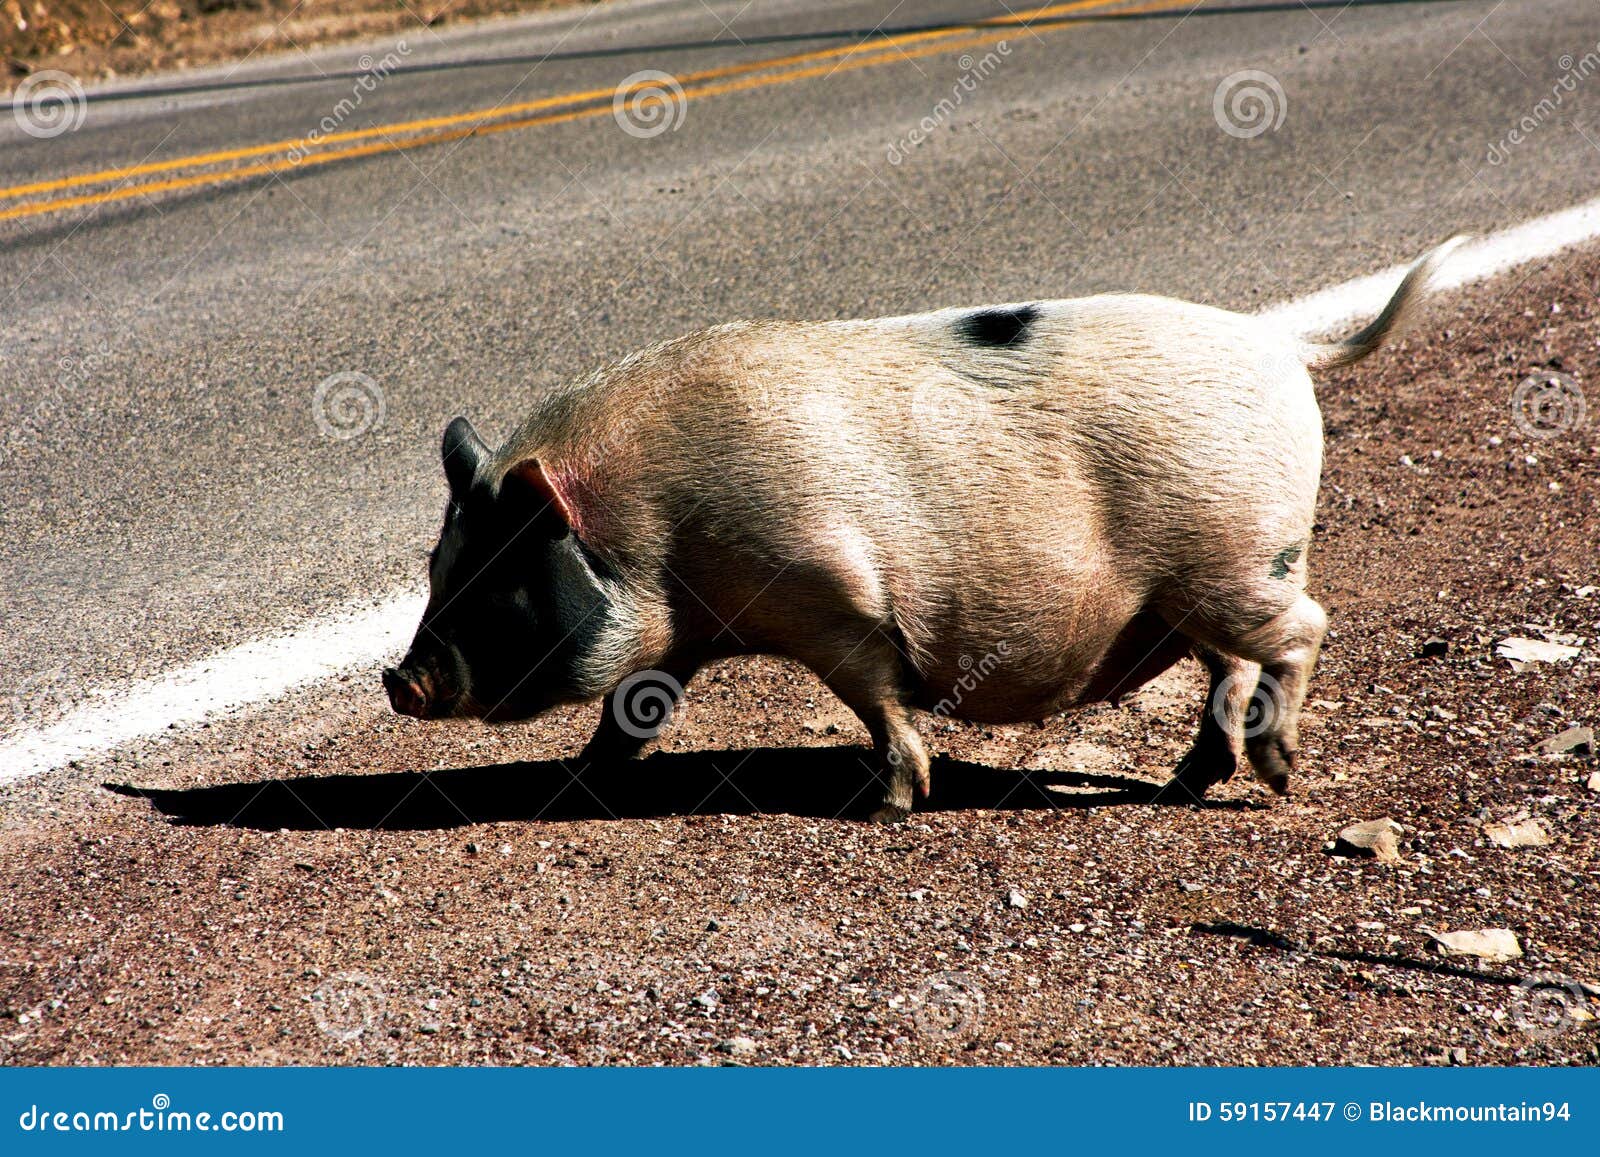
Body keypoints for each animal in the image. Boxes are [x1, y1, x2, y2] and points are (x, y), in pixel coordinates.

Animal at [384, 238, 1463, 821]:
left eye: (500, 576)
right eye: (441, 562)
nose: (401, 679)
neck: (652, 534)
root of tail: (1286, 346)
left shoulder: (830, 597)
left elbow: (875, 697)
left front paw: (887, 803)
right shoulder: (685, 636)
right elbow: (633, 710)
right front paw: (579, 781)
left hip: (1238, 562)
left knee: (1303, 630)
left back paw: (1275, 775)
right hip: (1189, 592)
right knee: (1228, 672)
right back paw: (1182, 784)